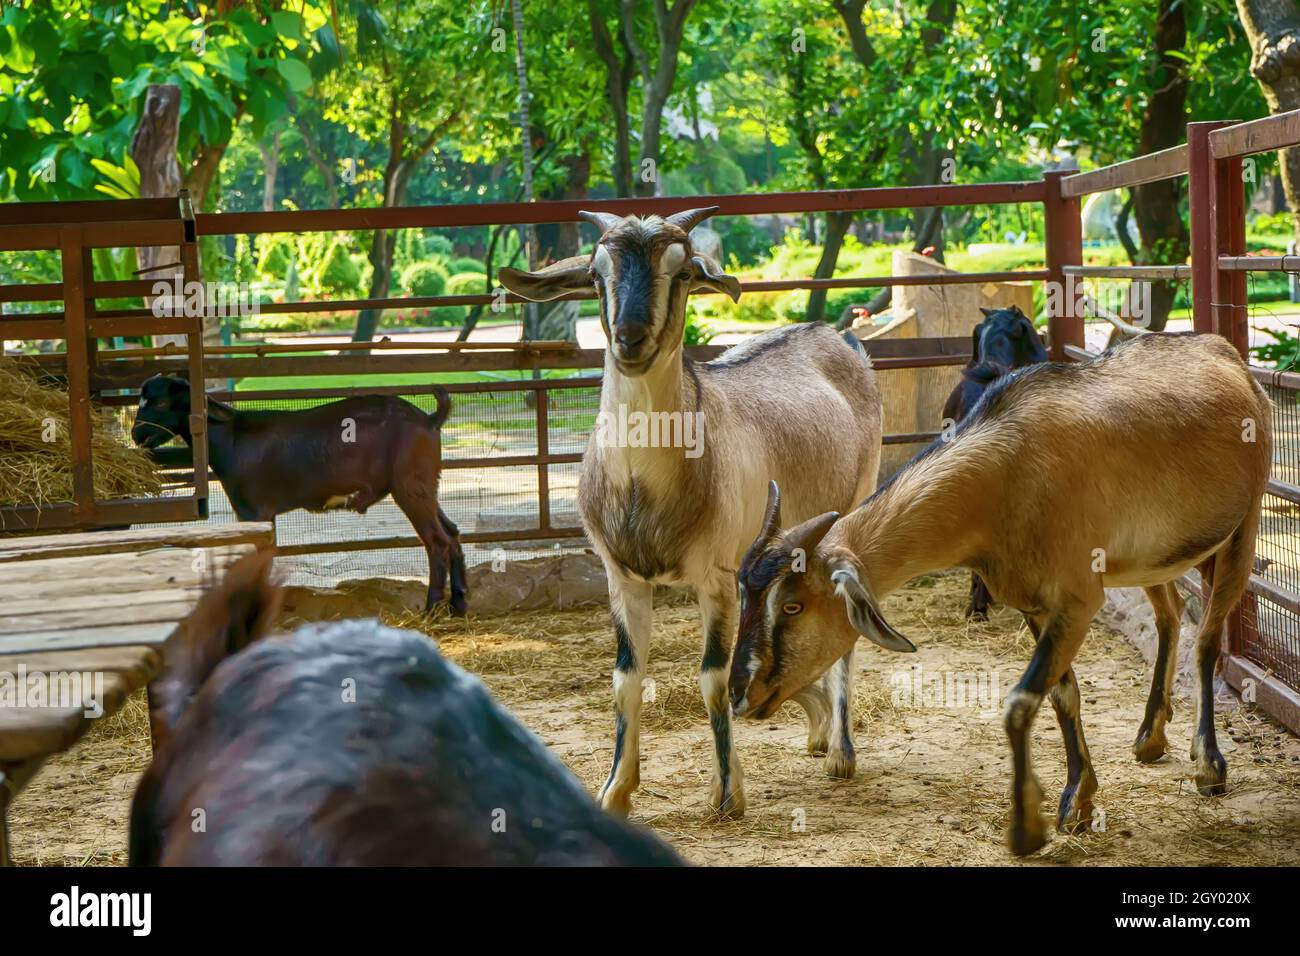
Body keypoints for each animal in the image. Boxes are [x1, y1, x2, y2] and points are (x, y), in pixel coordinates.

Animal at [131, 374, 465, 615]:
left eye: (160, 404)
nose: (136, 435)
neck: (232, 438)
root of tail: (431, 419)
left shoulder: (255, 511)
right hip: (425, 484)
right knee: (453, 532)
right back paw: (458, 606)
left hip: (409, 485)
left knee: (438, 541)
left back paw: (432, 610)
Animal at [499, 207, 883, 816]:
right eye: (596, 274)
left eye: (682, 274)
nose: (630, 338)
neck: (646, 488)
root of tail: (838, 336)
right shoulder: (621, 578)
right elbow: (624, 680)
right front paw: (615, 790)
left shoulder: (718, 576)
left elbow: (713, 677)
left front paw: (727, 793)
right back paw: (820, 728)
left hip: (855, 499)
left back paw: (842, 753)